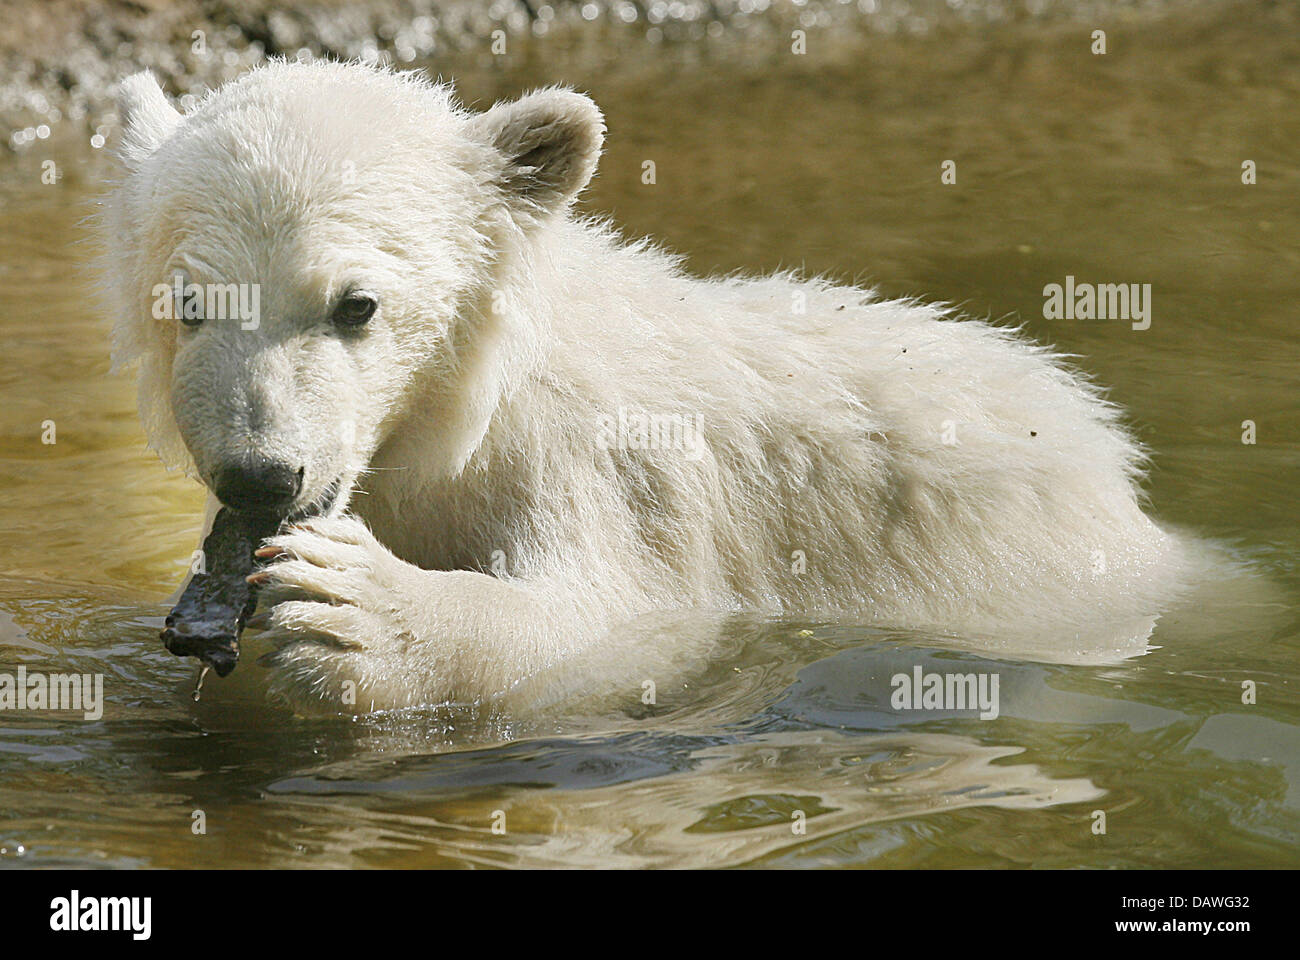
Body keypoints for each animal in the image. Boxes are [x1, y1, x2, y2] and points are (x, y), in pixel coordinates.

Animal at [98, 60, 1189, 715]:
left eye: (356, 305)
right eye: (189, 301)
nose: (260, 474)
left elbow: (626, 622)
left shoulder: (608, 469)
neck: (466, 415)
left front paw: (350, 607)